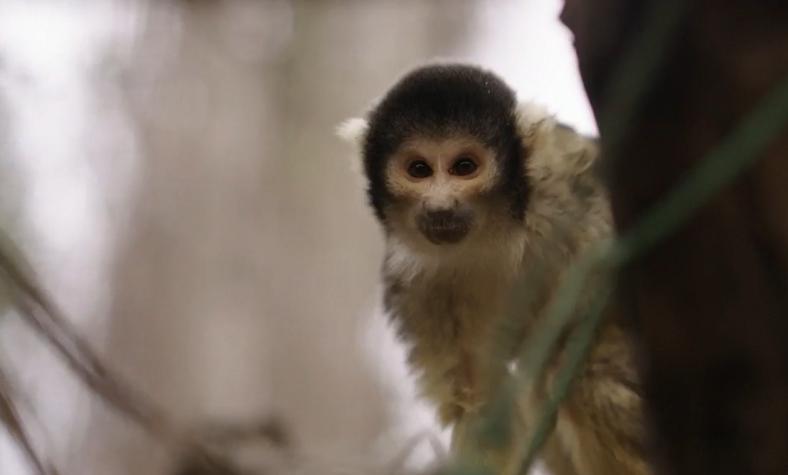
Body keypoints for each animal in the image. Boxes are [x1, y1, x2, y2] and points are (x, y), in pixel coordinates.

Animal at [339, 63, 649, 475]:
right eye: (419, 170)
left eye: (464, 167)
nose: (441, 206)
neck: (494, 235)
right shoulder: (418, 288)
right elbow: (480, 405)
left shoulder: (560, 184)